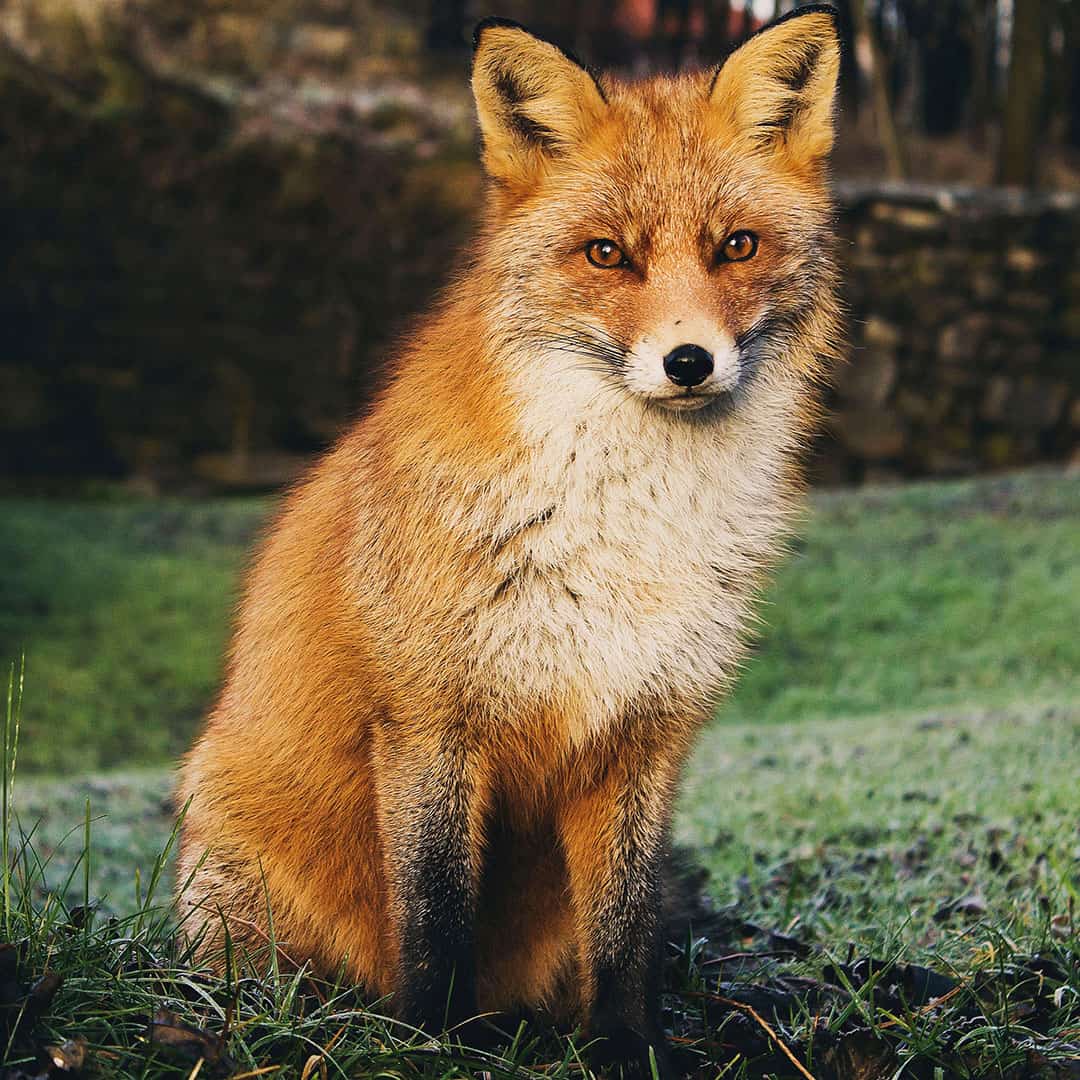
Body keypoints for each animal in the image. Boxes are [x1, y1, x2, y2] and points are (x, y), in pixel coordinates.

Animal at [176, 7, 843, 1076]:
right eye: (607, 254)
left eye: (737, 246)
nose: (688, 362)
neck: (623, 530)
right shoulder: (430, 720)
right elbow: (436, 914)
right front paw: (435, 1041)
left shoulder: (644, 734)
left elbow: (626, 933)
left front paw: (626, 1047)